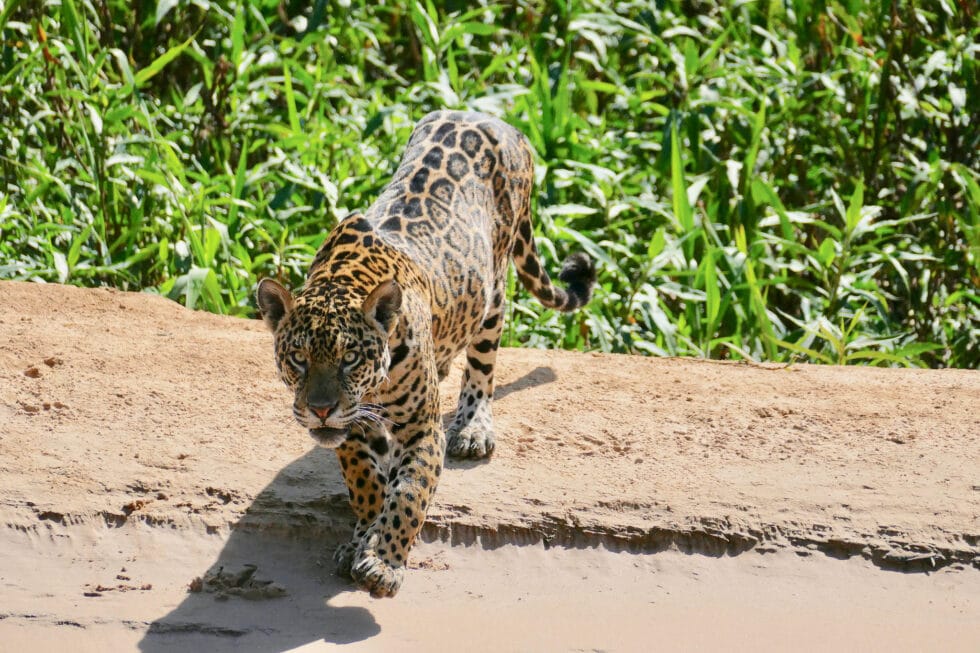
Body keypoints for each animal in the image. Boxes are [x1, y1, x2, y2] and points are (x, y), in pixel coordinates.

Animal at [256, 110, 595, 598]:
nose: (320, 410)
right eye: (298, 358)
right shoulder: (353, 431)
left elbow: (410, 492)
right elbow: (366, 485)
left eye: (350, 358)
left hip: (493, 294)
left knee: (482, 368)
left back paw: (472, 427)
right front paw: (362, 538)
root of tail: (489, 118)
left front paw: (383, 562)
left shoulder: (421, 426)